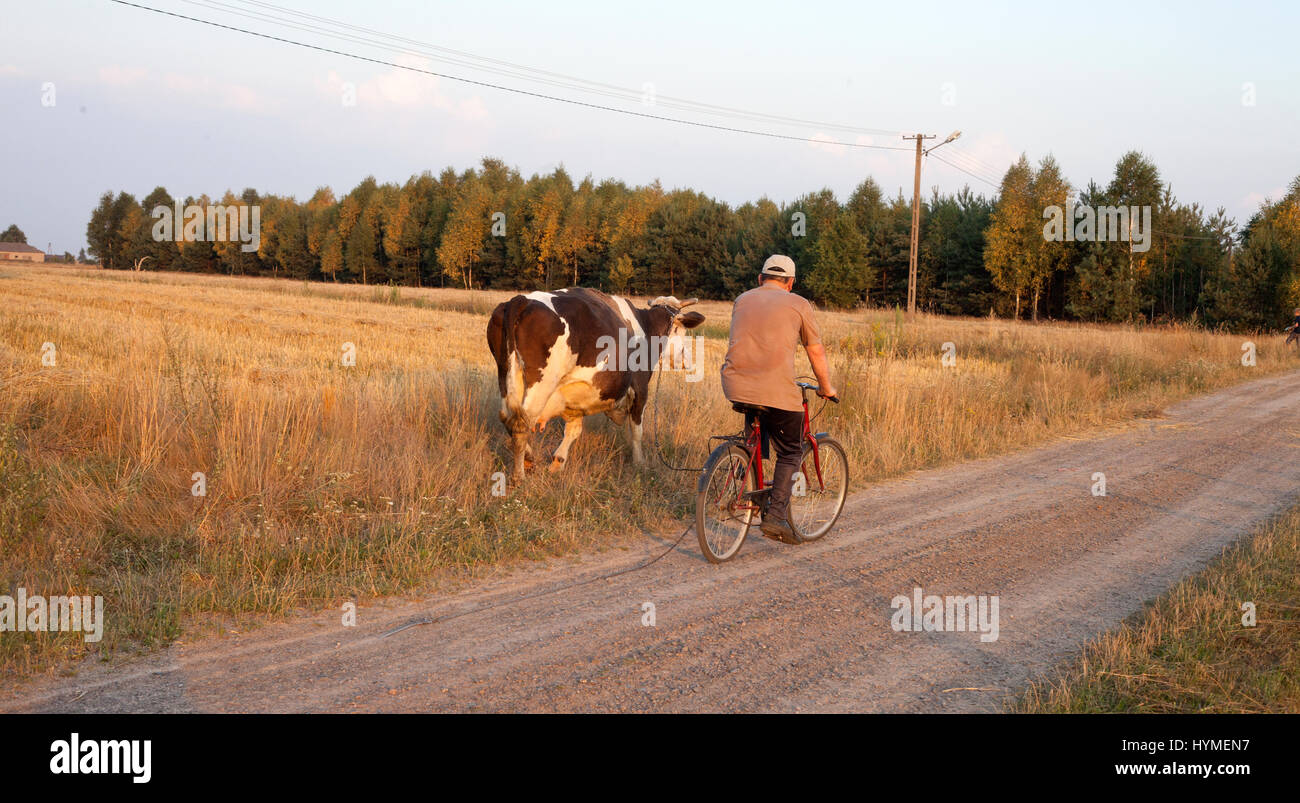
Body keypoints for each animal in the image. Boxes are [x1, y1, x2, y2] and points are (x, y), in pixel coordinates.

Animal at [486, 288, 705, 480]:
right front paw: (640, 462)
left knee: (508, 417)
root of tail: (522, 300)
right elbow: (637, 431)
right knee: (520, 423)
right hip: (541, 383)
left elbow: (574, 430)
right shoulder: (640, 389)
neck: (646, 327)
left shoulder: (575, 396)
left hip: (506, 375)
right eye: (682, 331)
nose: (687, 359)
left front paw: (558, 463)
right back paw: (519, 476)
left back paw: (529, 457)